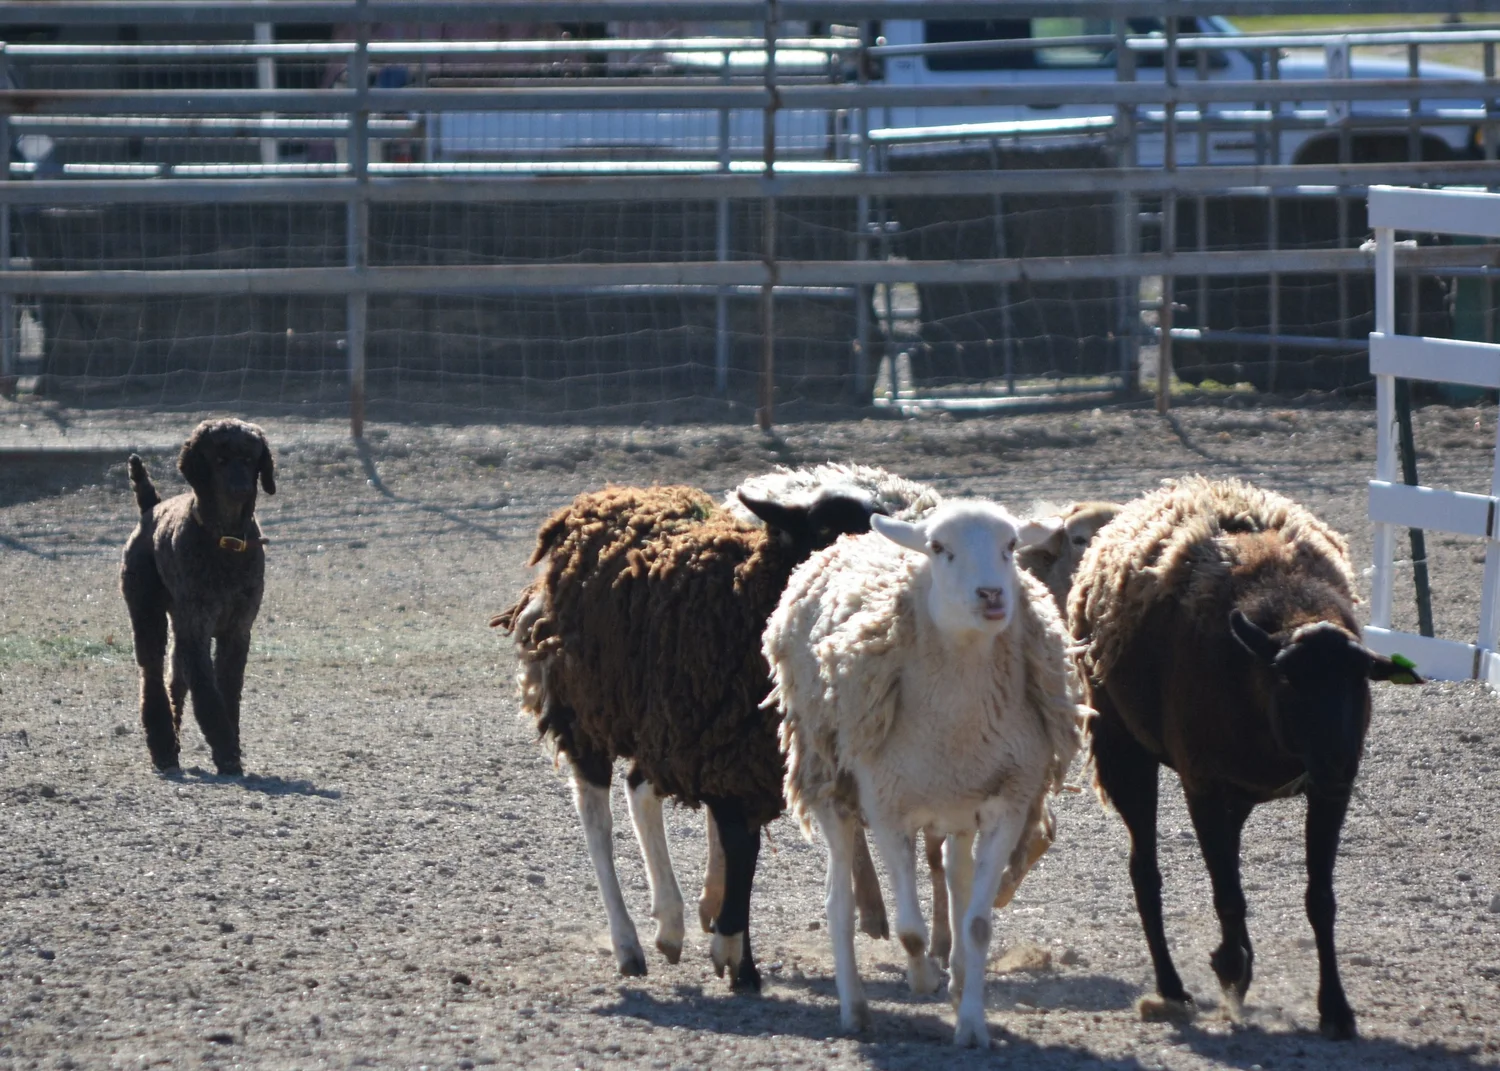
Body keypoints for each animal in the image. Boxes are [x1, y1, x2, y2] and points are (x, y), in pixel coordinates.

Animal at [120, 418, 277, 776]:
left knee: (174, 679)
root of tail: (151, 507)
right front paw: (226, 749)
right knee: (152, 677)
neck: (225, 539)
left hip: (178, 622)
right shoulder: (199, 628)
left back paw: (173, 741)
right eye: (219, 459)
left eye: (250, 459)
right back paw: (163, 747)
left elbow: (228, 690)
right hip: (147, 612)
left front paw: (230, 744)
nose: (240, 489)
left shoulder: (237, 631)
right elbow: (207, 691)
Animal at [492, 465, 939, 990]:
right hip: (586, 711)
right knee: (596, 815)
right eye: (827, 526)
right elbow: (741, 850)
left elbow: (743, 851)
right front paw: (734, 955)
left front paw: (732, 951)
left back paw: (670, 924)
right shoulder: (728, 757)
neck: (745, 601)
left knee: (638, 786)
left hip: (664, 724)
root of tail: (596, 500)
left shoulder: (746, 758)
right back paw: (628, 943)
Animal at [764, 499, 1088, 1045]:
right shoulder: (886, 804)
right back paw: (856, 1009)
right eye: (939, 548)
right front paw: (921, 979)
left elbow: (976, 925)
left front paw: (972, 1023)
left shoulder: (1008, 799)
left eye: (1010, 546)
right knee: (838, 900)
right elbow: (910, 930)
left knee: (955, 881)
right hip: (830, 782)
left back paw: (956, 980)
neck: (958, 721)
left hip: (959, 806)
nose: (992, 595)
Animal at [1068, 476, 1420, 1040]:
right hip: (1124, 750)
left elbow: (1319, 899)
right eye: (1289, 680)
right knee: (1146, 872)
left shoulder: (1326, 792)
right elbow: (1228, 894)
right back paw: (1174, 987)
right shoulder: (1204, 786)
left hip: (1242, 791)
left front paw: (1335, 1008)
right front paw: (1232, 974)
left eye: (1360, 682)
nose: (1337, 761)